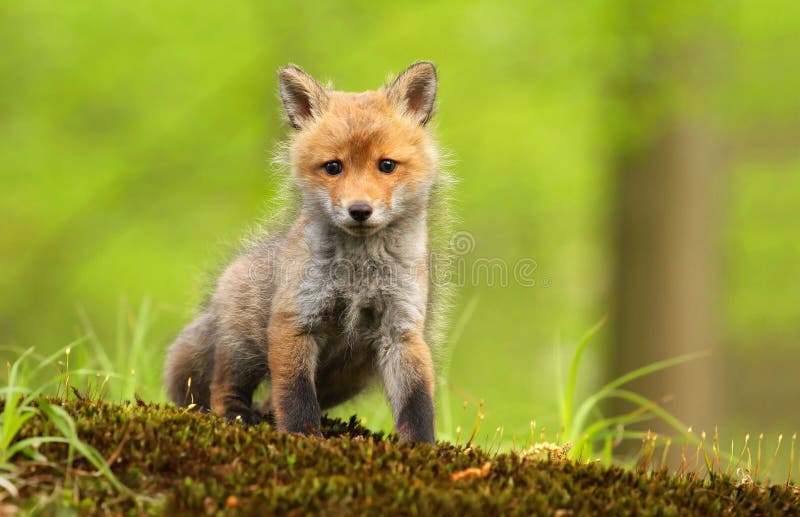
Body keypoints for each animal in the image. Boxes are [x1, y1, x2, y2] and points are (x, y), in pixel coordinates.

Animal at [163, 61, 450, 443]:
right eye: (333, 167)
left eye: (387, 165)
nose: (360, 210)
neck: (359, 274)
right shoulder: (295, 319)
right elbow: (296, 394)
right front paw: (303, 438)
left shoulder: (402, 330)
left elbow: (417, 403)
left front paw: (420, 447)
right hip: (243, 349)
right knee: (222, 388)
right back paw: (239, 416)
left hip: (349, 378)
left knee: (270, 400)